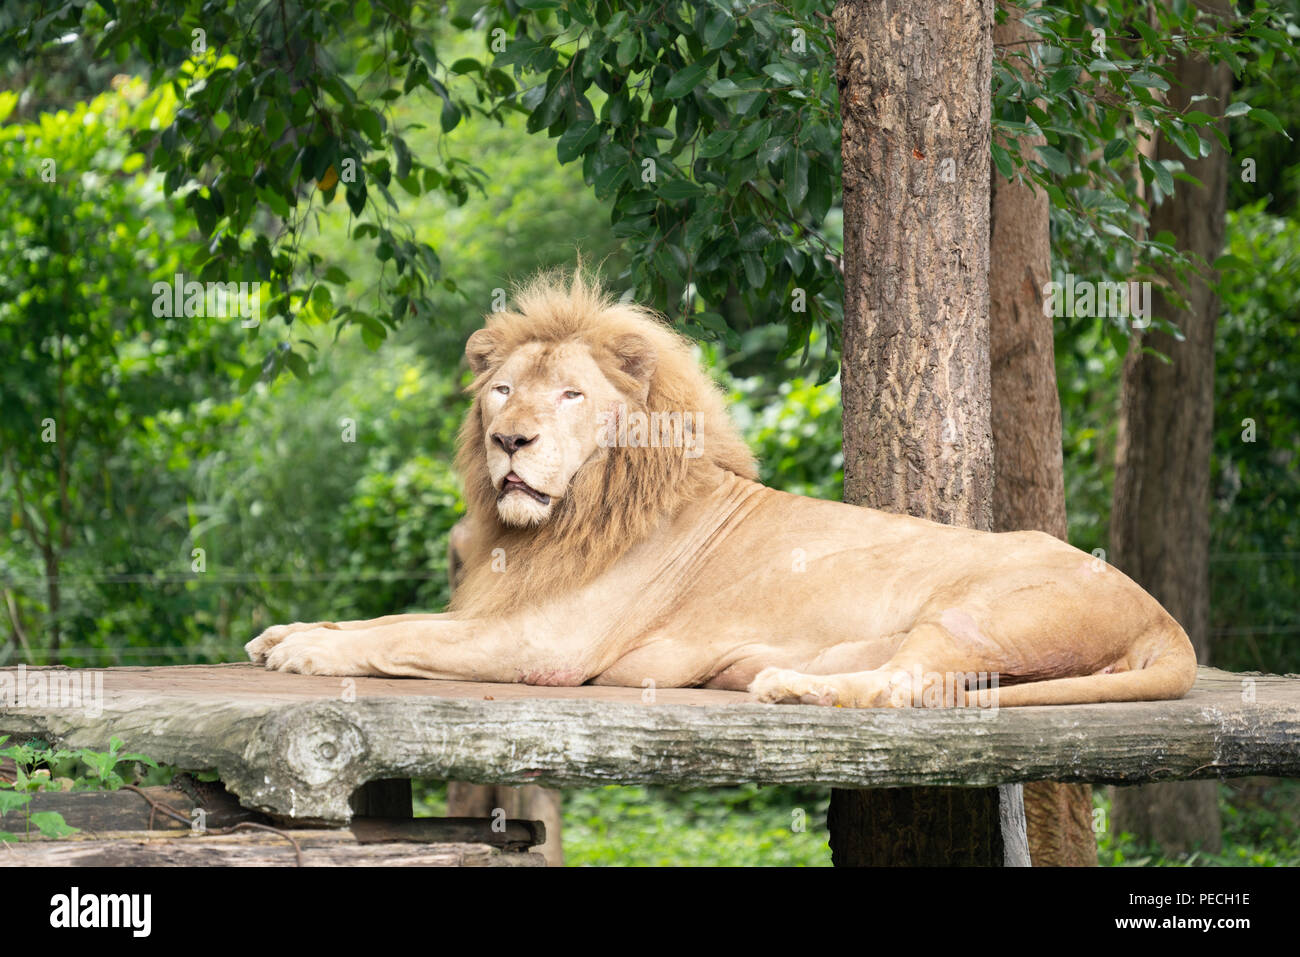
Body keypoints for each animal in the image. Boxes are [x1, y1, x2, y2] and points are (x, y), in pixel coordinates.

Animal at [246, 270, 1197, 710]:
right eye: (502, 390)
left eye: (571, 395)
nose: (509, 441)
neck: (560, 519)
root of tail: (1163, 617)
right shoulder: (496, 606)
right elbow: (386, 617)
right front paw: (288, 631)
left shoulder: (544, 641)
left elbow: (404, 634)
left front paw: (308, 653)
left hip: (977, 613)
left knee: (908, 691)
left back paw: (787, 687)